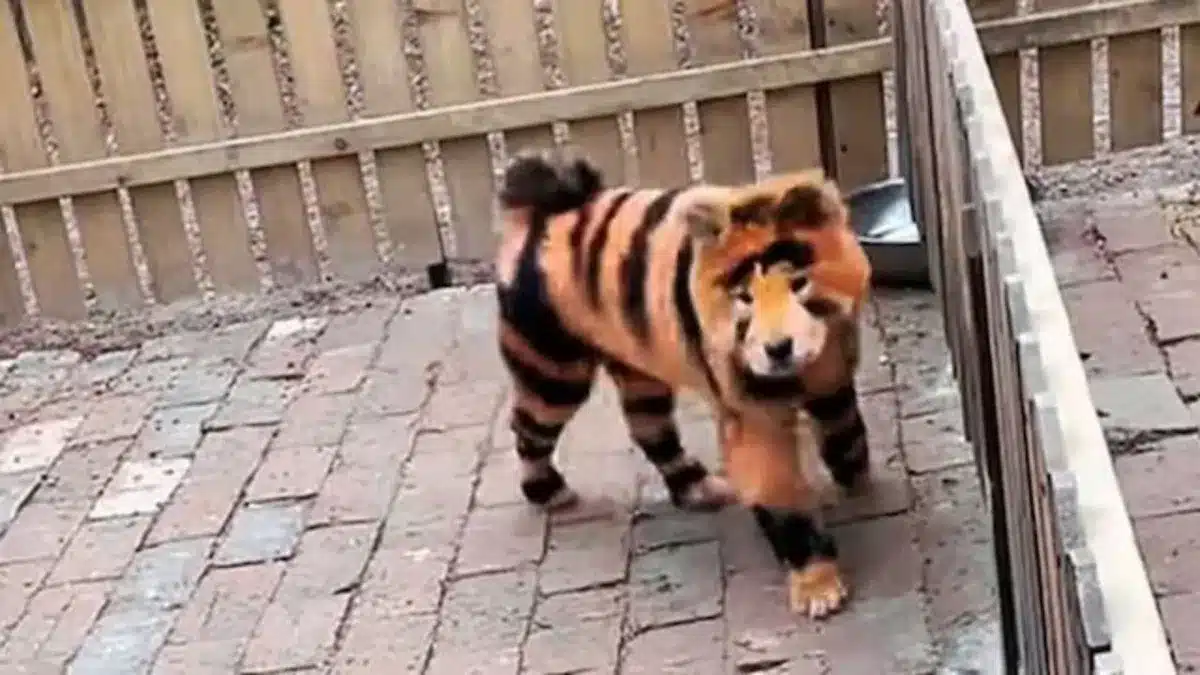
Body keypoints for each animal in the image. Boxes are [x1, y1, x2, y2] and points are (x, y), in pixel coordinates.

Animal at [493, 148, 873, 619]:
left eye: (798, 282)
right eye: (745, 297)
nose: (778, 349)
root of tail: (537, 217)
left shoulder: (833, 375)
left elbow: (846, 429)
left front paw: (856, 477)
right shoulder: (752, 418)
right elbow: (783, 496)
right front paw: (818, 590)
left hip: (638, 374)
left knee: (649, 430)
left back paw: (701, 489)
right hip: (553, 370)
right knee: (528, 429)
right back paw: (551, 493)